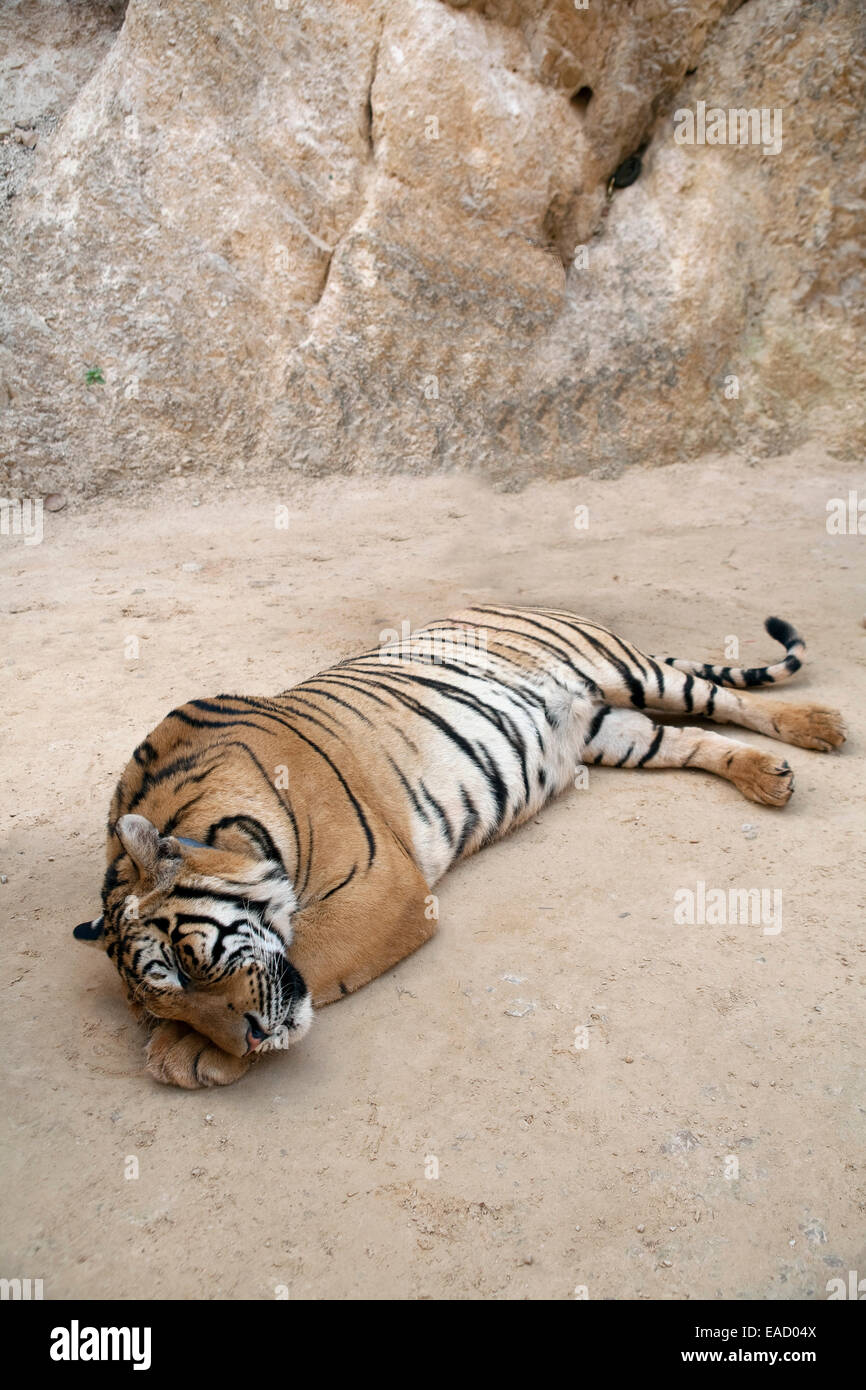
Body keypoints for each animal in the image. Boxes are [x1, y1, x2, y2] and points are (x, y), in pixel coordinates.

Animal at [74, 604, 846, 1089]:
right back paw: (768, 776)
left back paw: (820, 726)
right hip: (617, 732)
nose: (250, 1042)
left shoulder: (383, 889)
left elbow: (308, 948)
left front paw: (184, 1057)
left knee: (727, 700)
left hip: (629, 672)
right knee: (690, 739)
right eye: (165, 1004)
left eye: (190, 964)